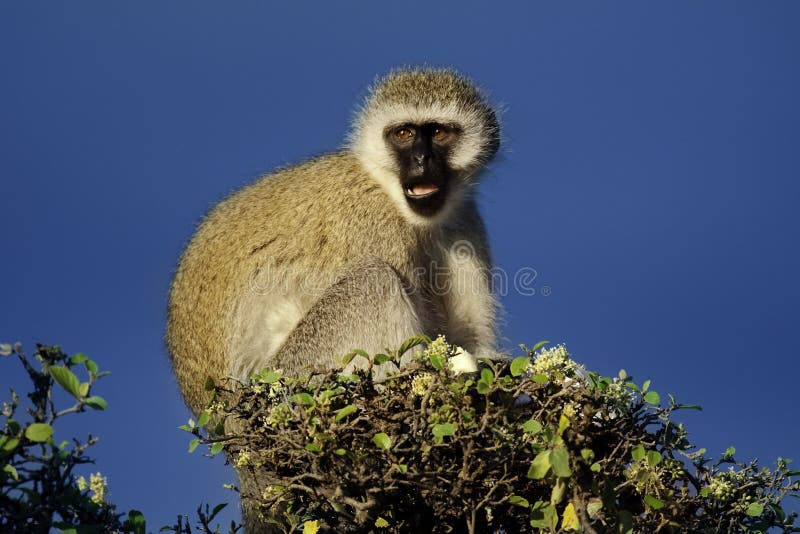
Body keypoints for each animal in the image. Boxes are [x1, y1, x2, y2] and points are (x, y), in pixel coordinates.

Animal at [166, 67, 501, 531]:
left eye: (439, 133)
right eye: (404, 133)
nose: (421, 161)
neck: (386, 187)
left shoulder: (466, 221)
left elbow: (468, 336)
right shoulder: (373, 221)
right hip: (287, 388)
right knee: (373, 280)